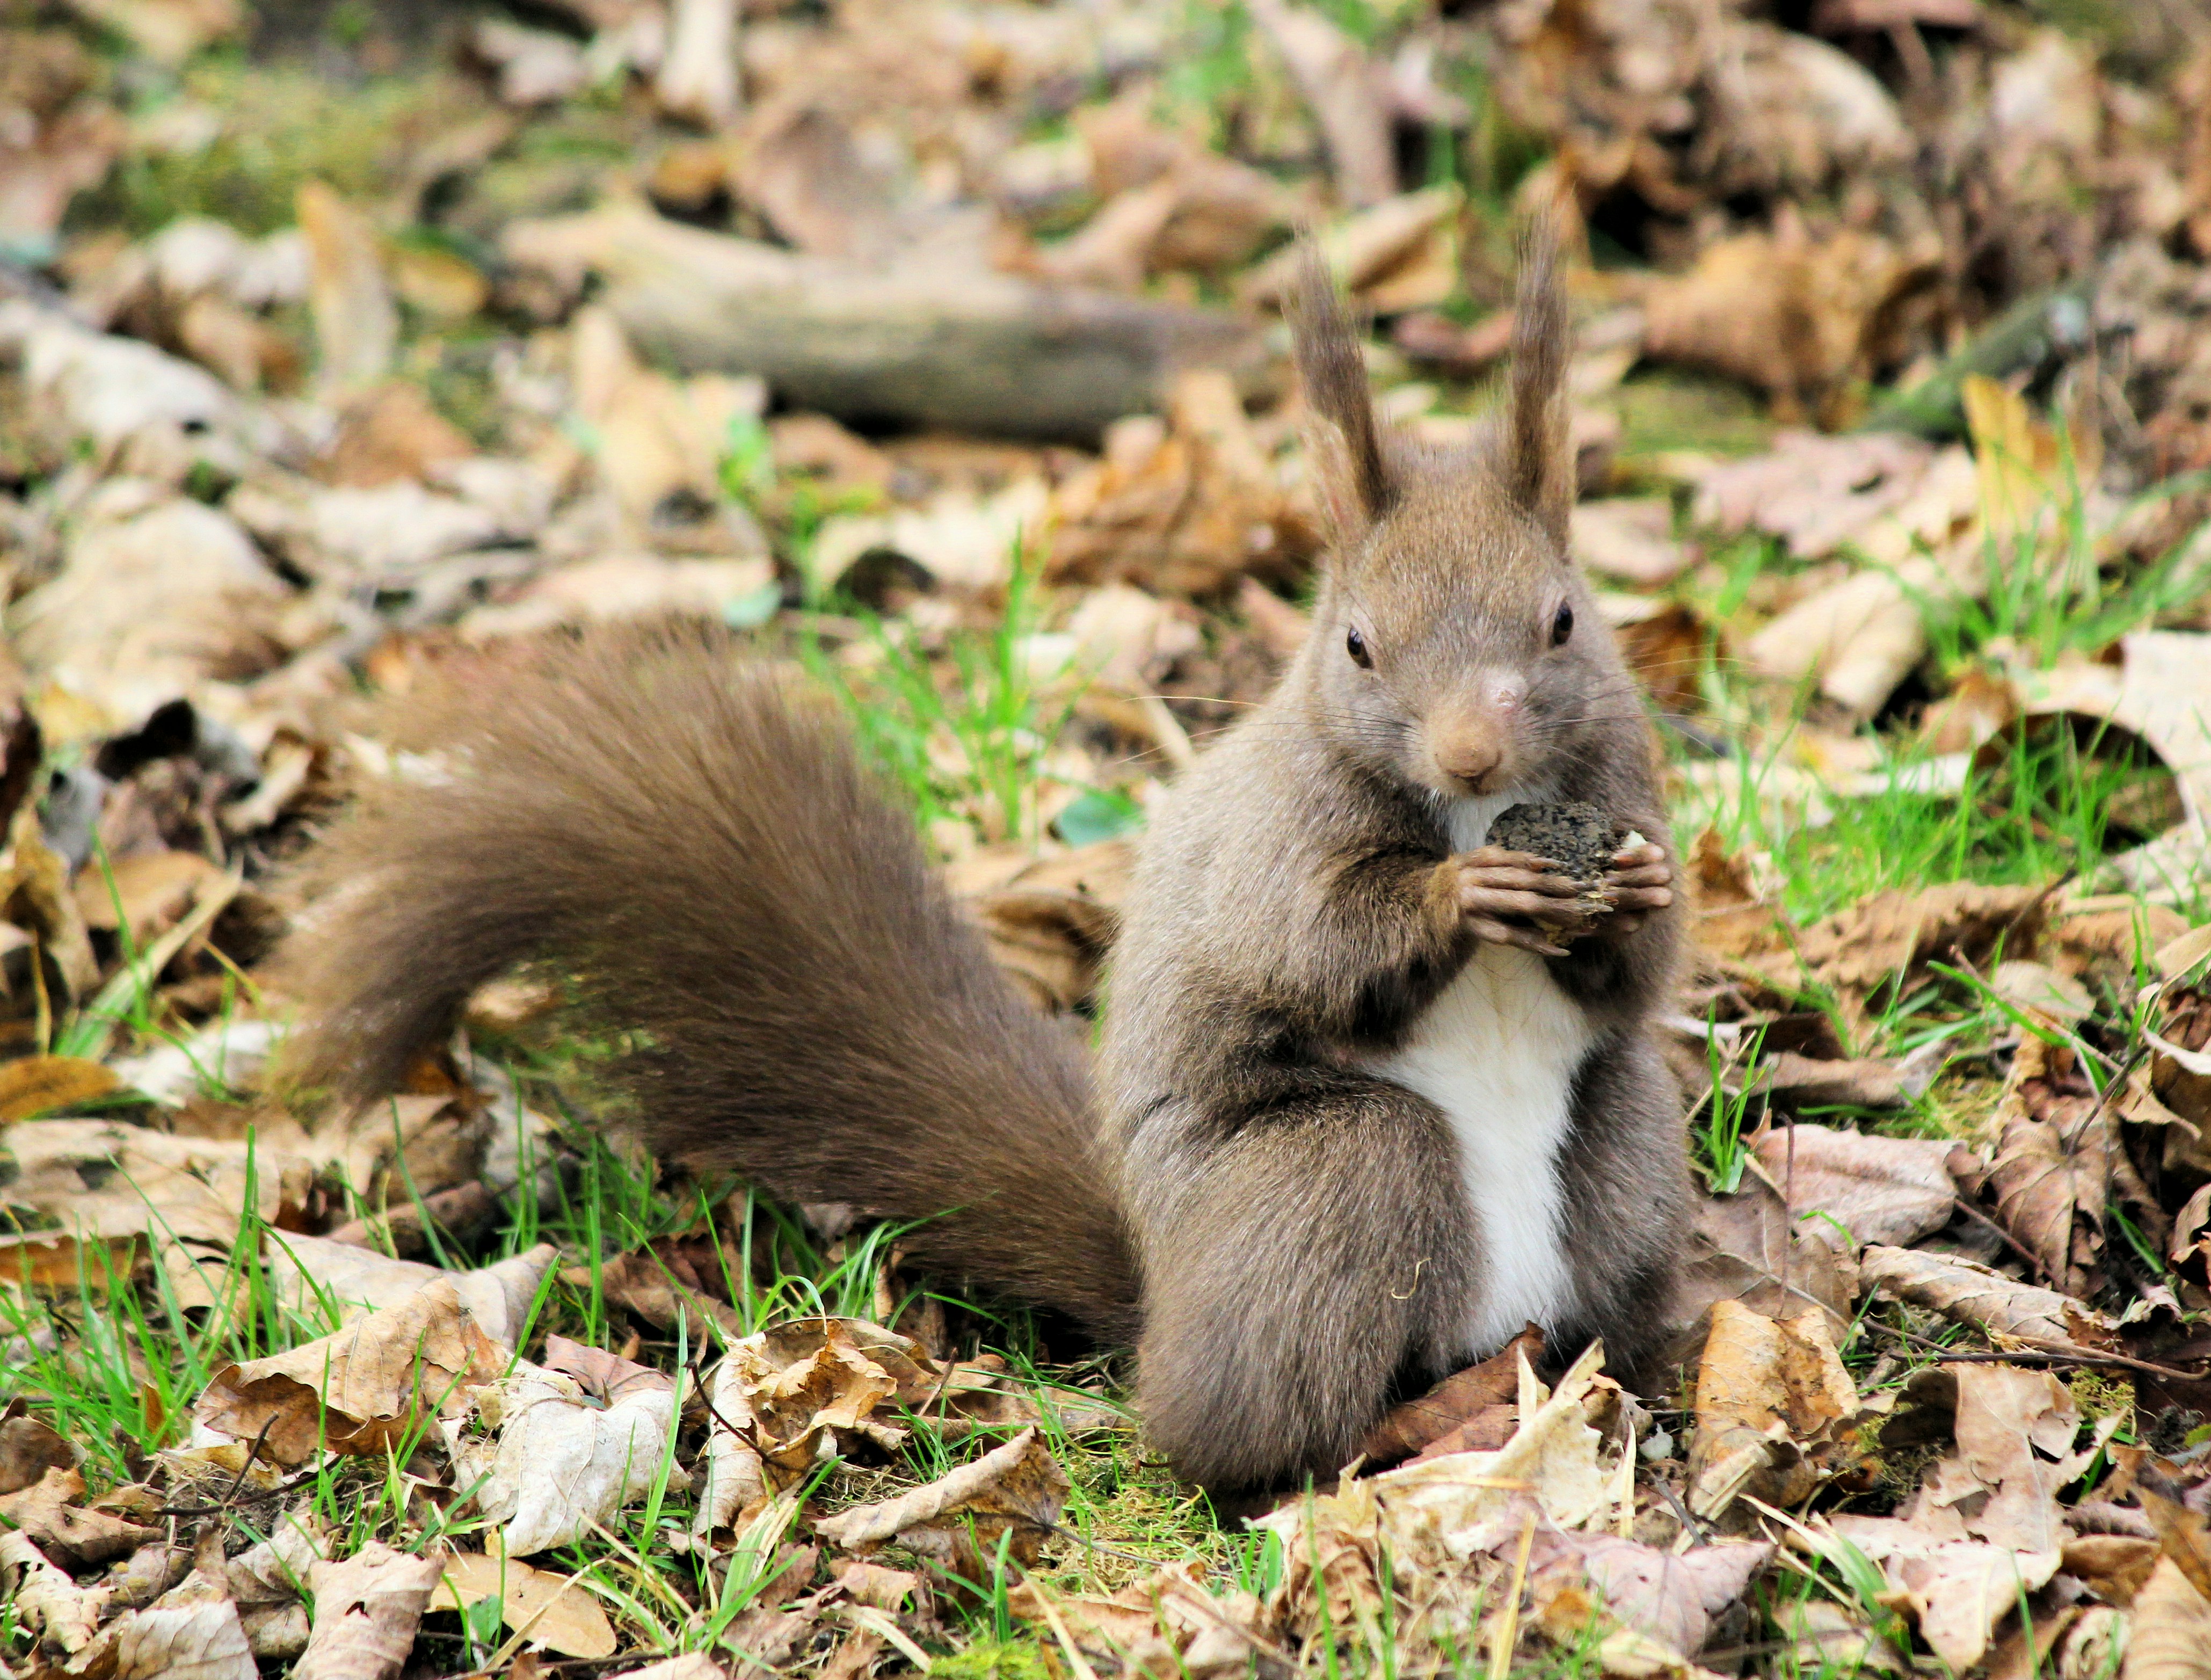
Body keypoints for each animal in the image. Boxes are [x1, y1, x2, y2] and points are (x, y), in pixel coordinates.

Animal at [275, 221, 1691, 1498]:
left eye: (1564, 621)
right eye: (1355, 645)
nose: (1469, 755)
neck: (1470, 811)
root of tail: (1161, 1294)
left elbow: (1636, 971)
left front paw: (1635, 894)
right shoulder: (1274, 844)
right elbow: (1307, 945)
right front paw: (1463, 891)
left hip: (1624, 1149)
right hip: (1334, 1174)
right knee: (1222, 1418)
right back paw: (1334, 1453)